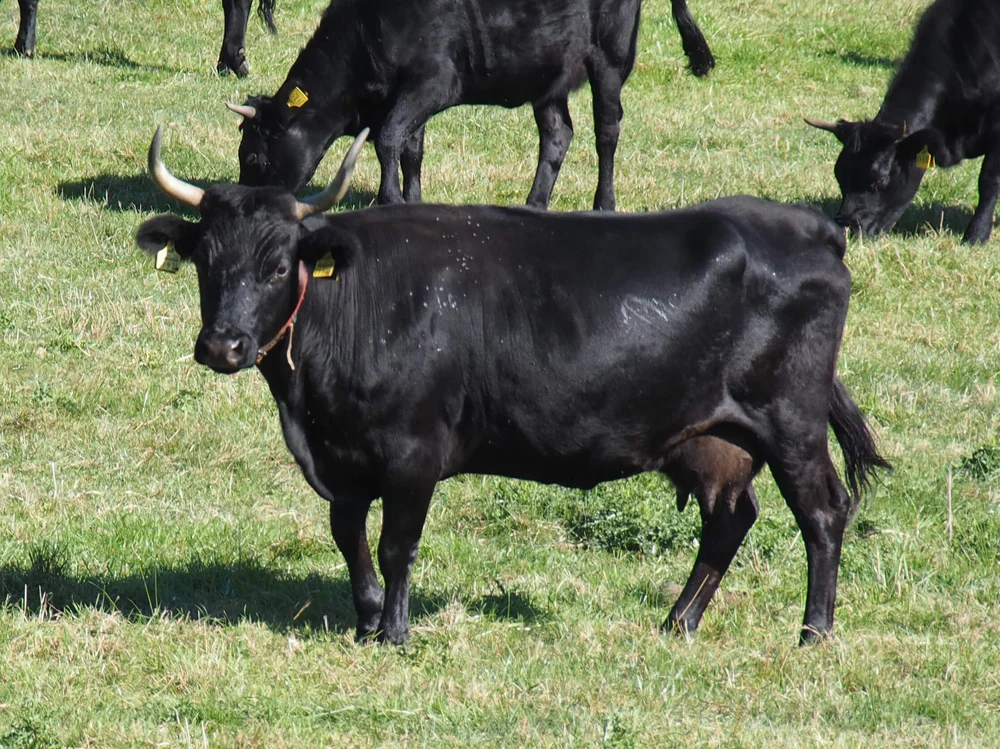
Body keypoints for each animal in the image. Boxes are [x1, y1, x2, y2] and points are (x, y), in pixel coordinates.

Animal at [136, 127, 890, 646]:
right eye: (205, 260)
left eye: (277, 264)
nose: (222, 345)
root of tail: (810, 226)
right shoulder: (343, 462)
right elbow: (349, 538)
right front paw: (366, 619)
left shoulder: (413, 452)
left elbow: (397, 543)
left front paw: (395, 633)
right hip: (712, 437)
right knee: (730, 518)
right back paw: (679, 621)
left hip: (790, 419)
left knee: (823, 512)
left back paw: (813, 631)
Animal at [228, 0, 715, 211]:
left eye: (254, 158)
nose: (244, 208)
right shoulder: (411, 96)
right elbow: (411, 149)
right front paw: (413, 200)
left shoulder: (433, 83)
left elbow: (387, 140)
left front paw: (390, 200)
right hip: (549, 75)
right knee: (557, 135)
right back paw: (533, 204)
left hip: (609, 61)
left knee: (607, 133)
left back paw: (604, 204)